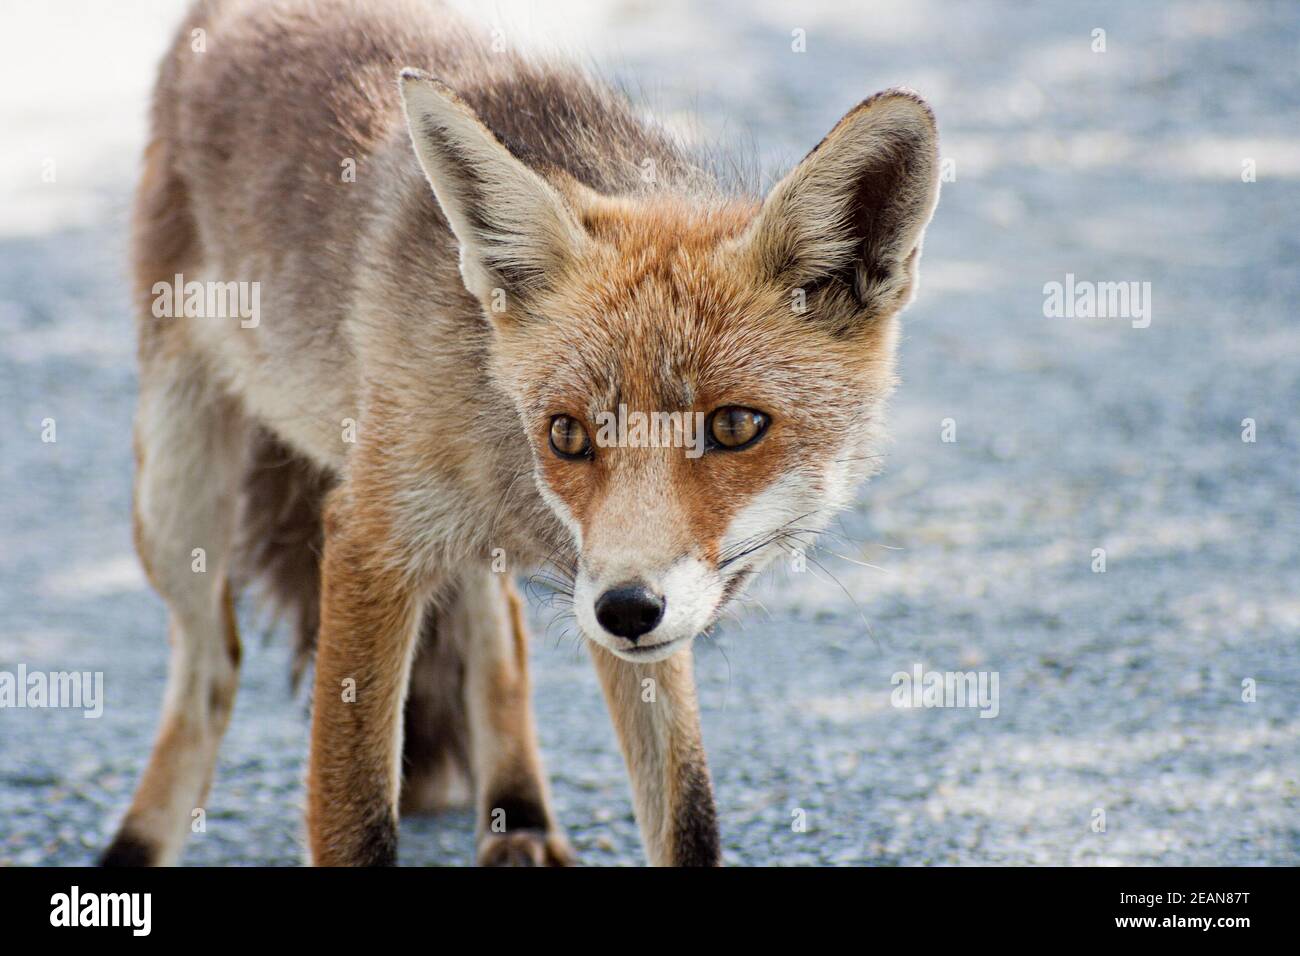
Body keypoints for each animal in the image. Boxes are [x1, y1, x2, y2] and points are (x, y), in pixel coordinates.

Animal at [101, 0, 939, 867]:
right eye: (566, 434)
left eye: (736, 425)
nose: (626, 610)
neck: (508, 461)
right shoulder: (371, 541)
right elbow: (355, 818)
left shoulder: (603, 583)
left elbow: (687, 814)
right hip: (175, 500)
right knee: (210, 668)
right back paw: (136, 842)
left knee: (495, 631)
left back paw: (518, 811)